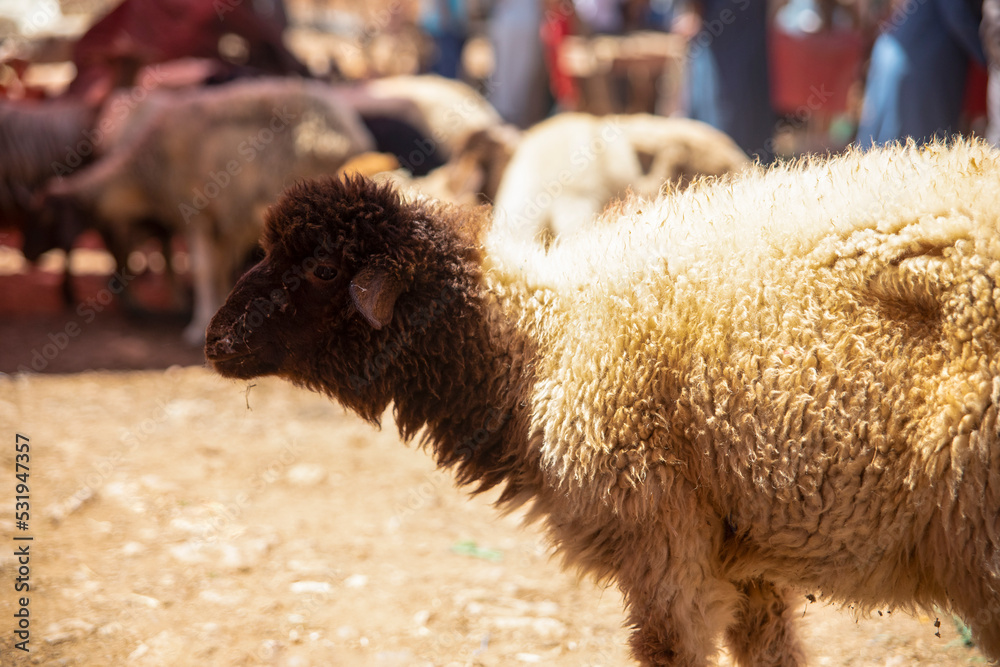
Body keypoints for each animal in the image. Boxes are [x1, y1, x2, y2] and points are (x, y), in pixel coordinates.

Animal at [41, 77, 374, 343]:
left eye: (52, 221)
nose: (116, 289)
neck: (146, 169)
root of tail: (350, 130)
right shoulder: (226, 217)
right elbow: (222, 265)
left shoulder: (196, 211)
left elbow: (203, 267)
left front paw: (197, 325)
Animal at [205, 139, 1000, 665]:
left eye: (322, 269)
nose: (215, 339)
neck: (539, 349)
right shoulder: (744, 550)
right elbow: (770, 650)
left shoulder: (662, 540)